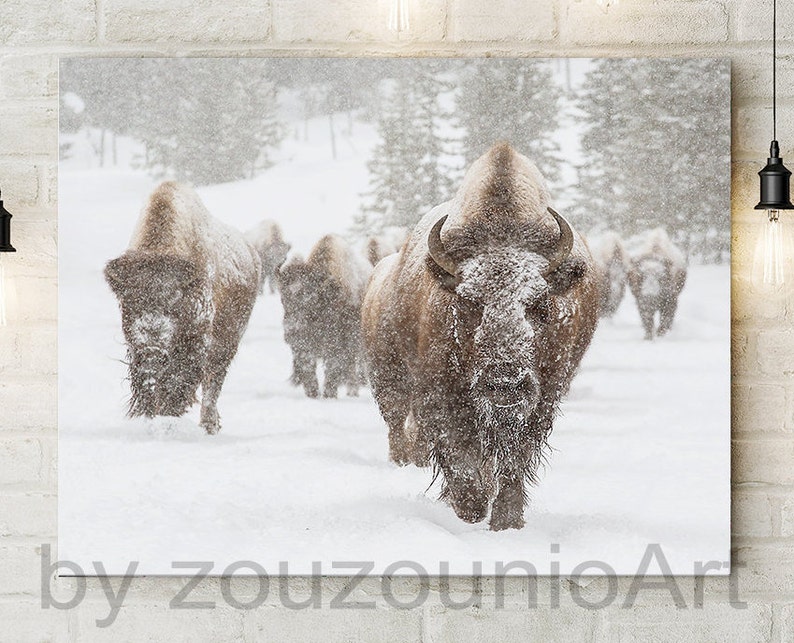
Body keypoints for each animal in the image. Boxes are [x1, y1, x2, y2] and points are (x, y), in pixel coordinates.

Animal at [361, 143, 600, 531]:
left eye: (539, 303)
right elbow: (459, 455)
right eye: (469, 300)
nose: (504, 381)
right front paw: (470, 509)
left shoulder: (540, 401)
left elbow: (514, 459)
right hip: (388, 379)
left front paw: (507, 521)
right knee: (398, 425)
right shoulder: (441, 397)